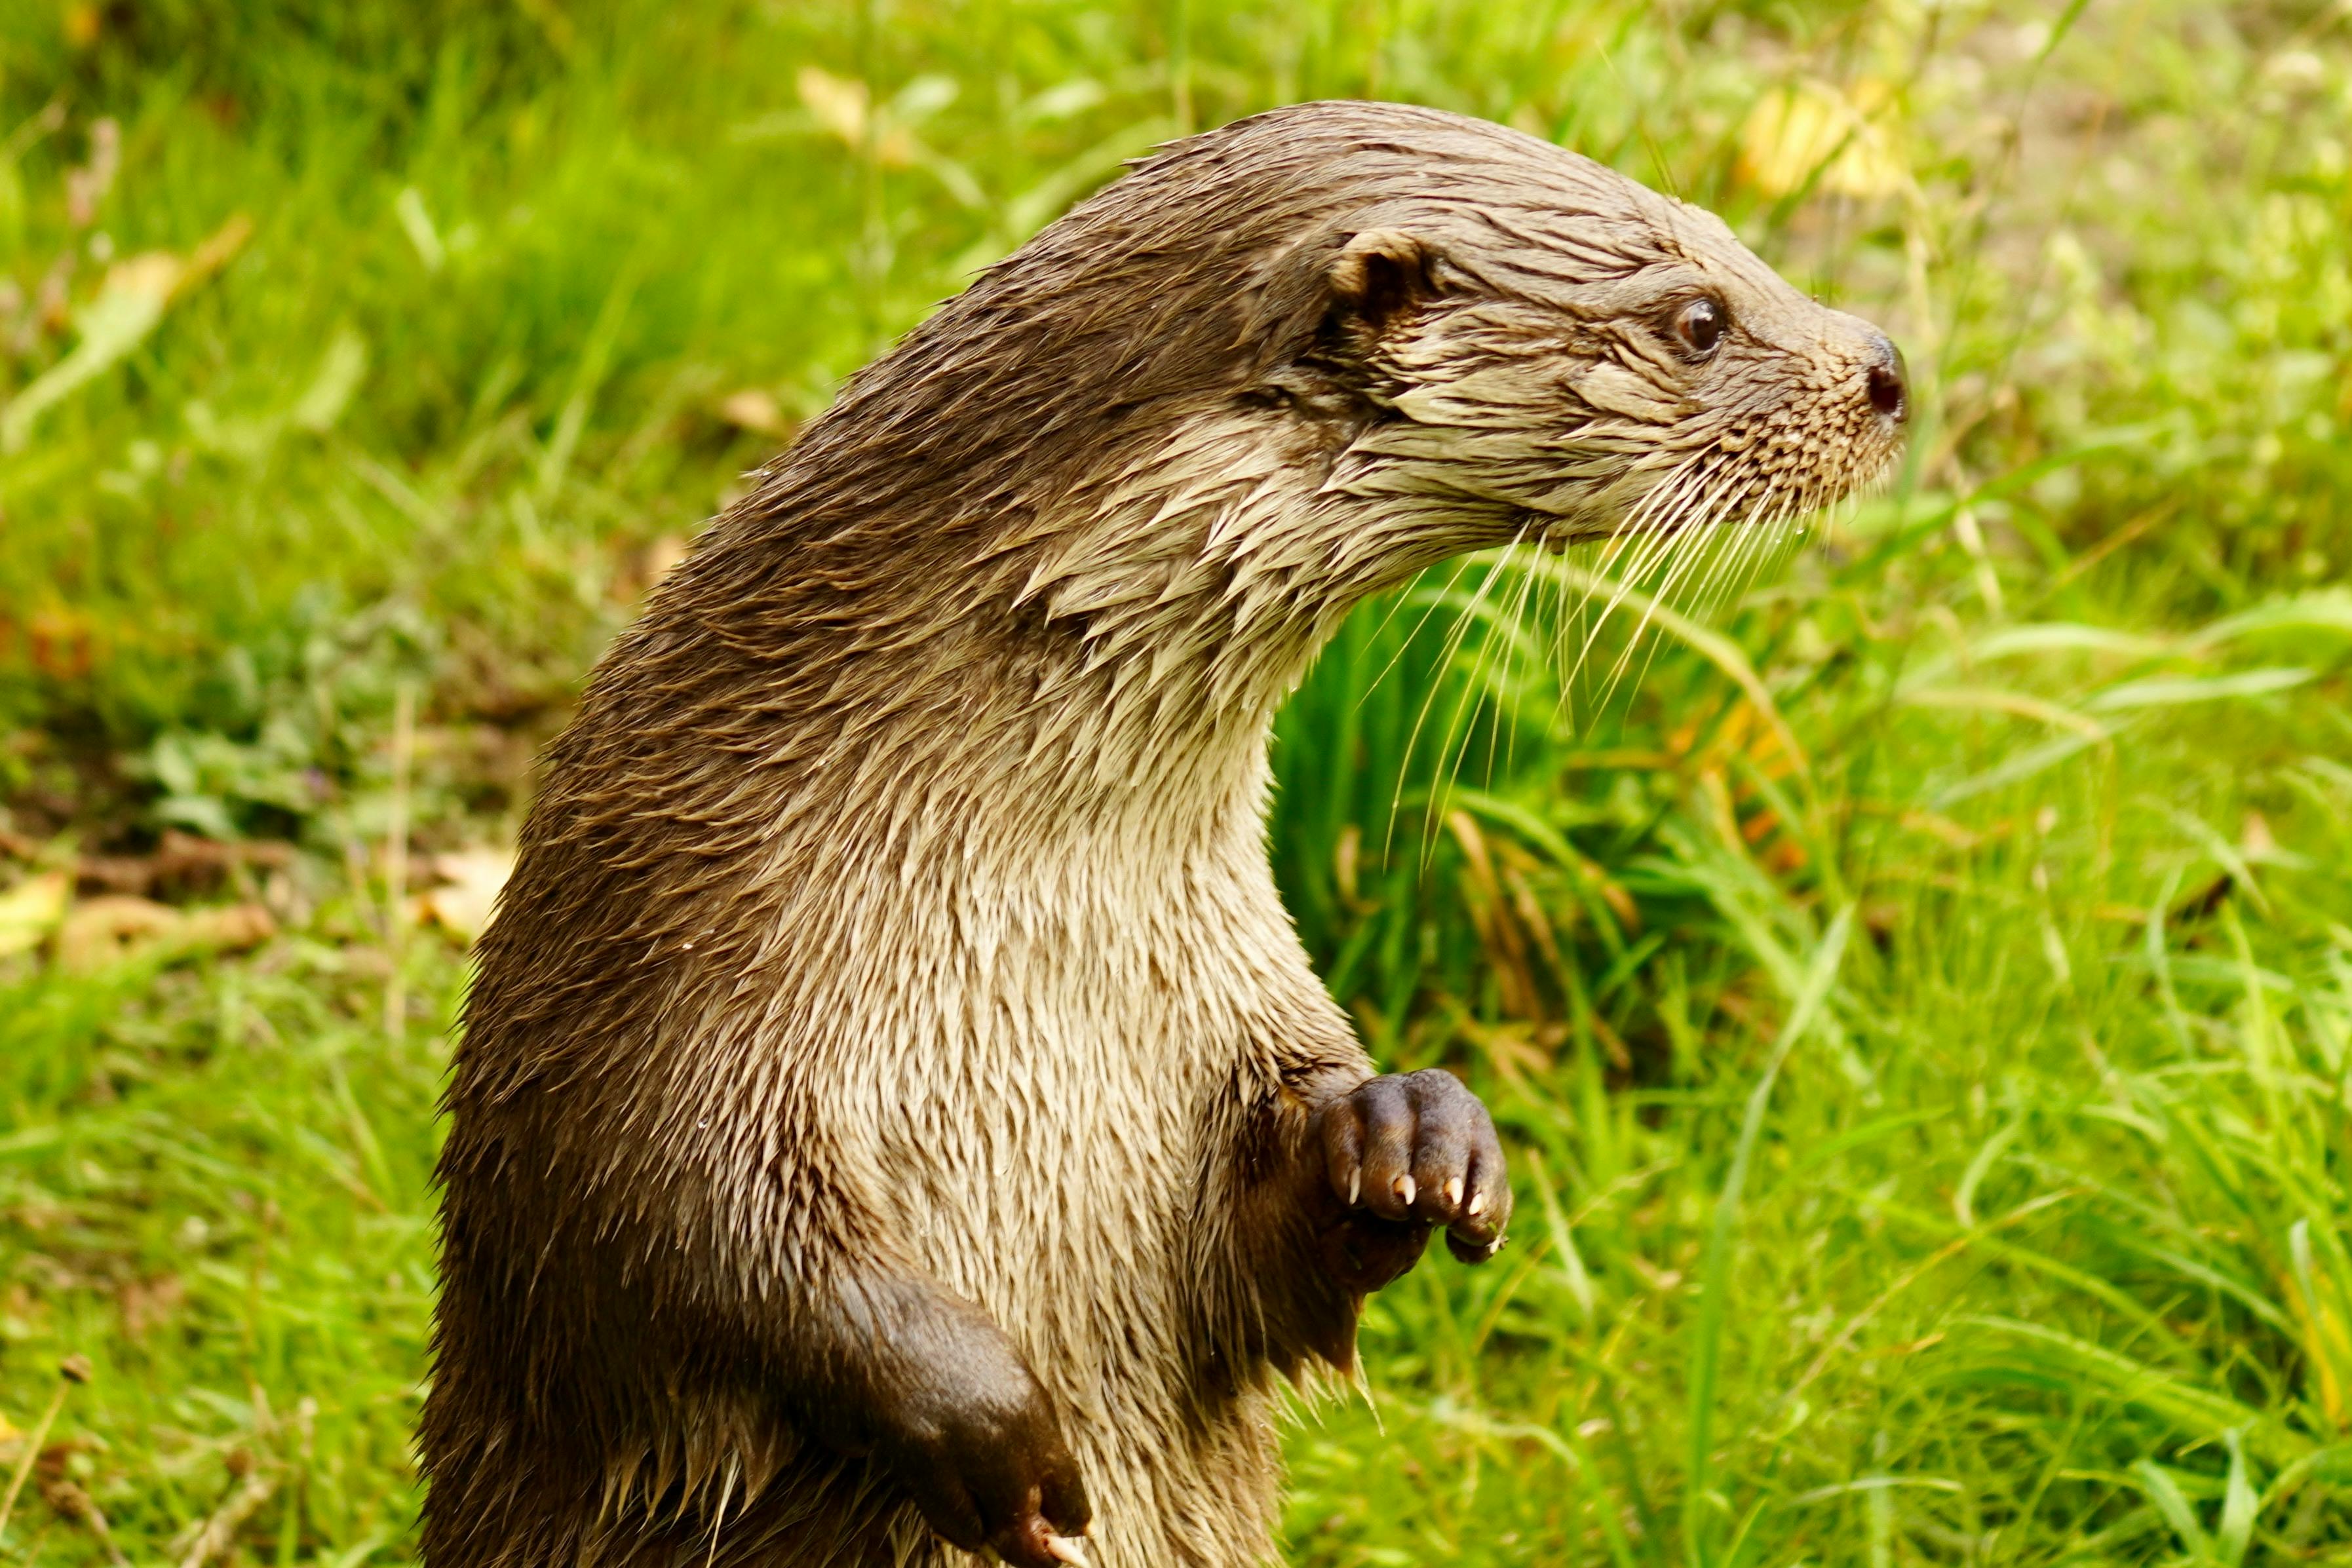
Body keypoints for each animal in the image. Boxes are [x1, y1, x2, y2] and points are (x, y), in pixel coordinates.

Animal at [421, 100, 1905, 1568]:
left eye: (1732, 237)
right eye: (1696, 316)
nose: (1887, 366)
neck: (1016, 891)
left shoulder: (1227, 985)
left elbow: (1252, 1274)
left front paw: (1411, 1131)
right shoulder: (653, 989)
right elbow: (687, 1243)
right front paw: (985, 1420)